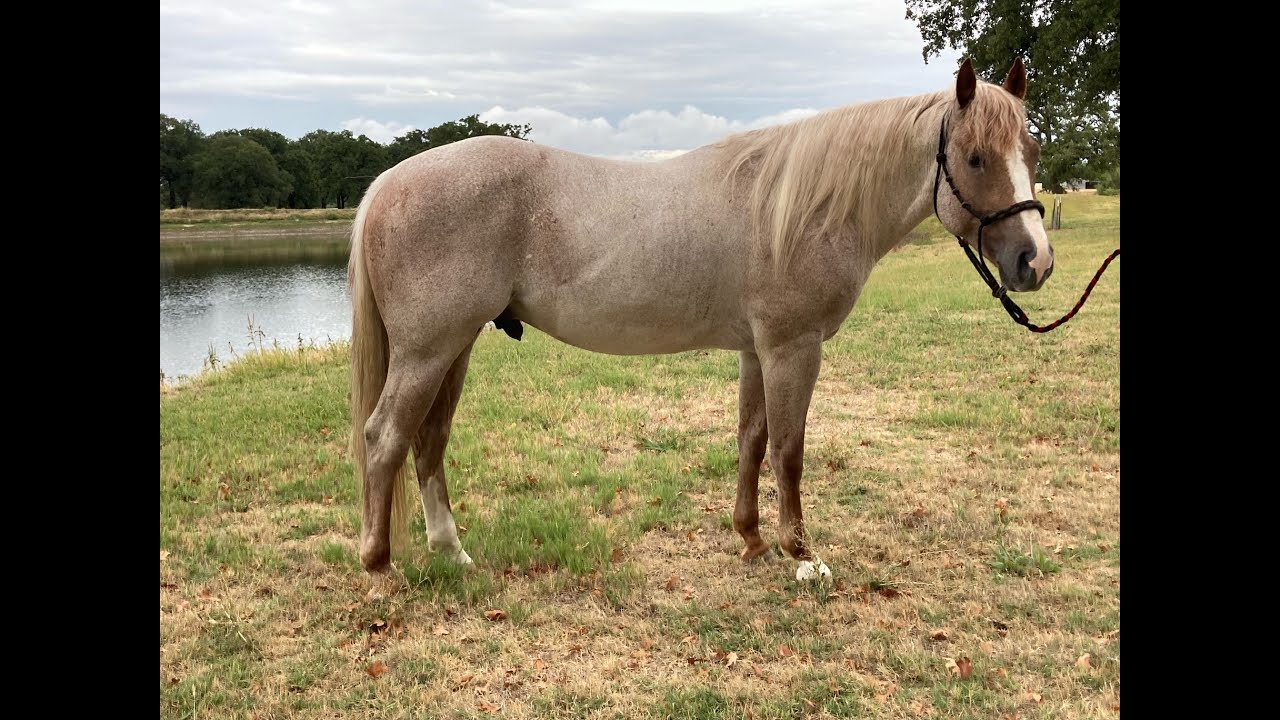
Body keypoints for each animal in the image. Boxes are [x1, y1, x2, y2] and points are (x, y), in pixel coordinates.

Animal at [347, 58, 1054, 585]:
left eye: (1031, 149)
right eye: (975, 158)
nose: (1034, 261)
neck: (805, 207)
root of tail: (384, 185)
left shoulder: (756, 351)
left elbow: (752, 440)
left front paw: (752, 541)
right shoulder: (793, 348)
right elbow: (790, 450)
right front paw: (803, 556)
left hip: (455, 346)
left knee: (428, 440)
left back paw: (451, 552)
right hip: (428, 350)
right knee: (386, 437)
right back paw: (379, 564)